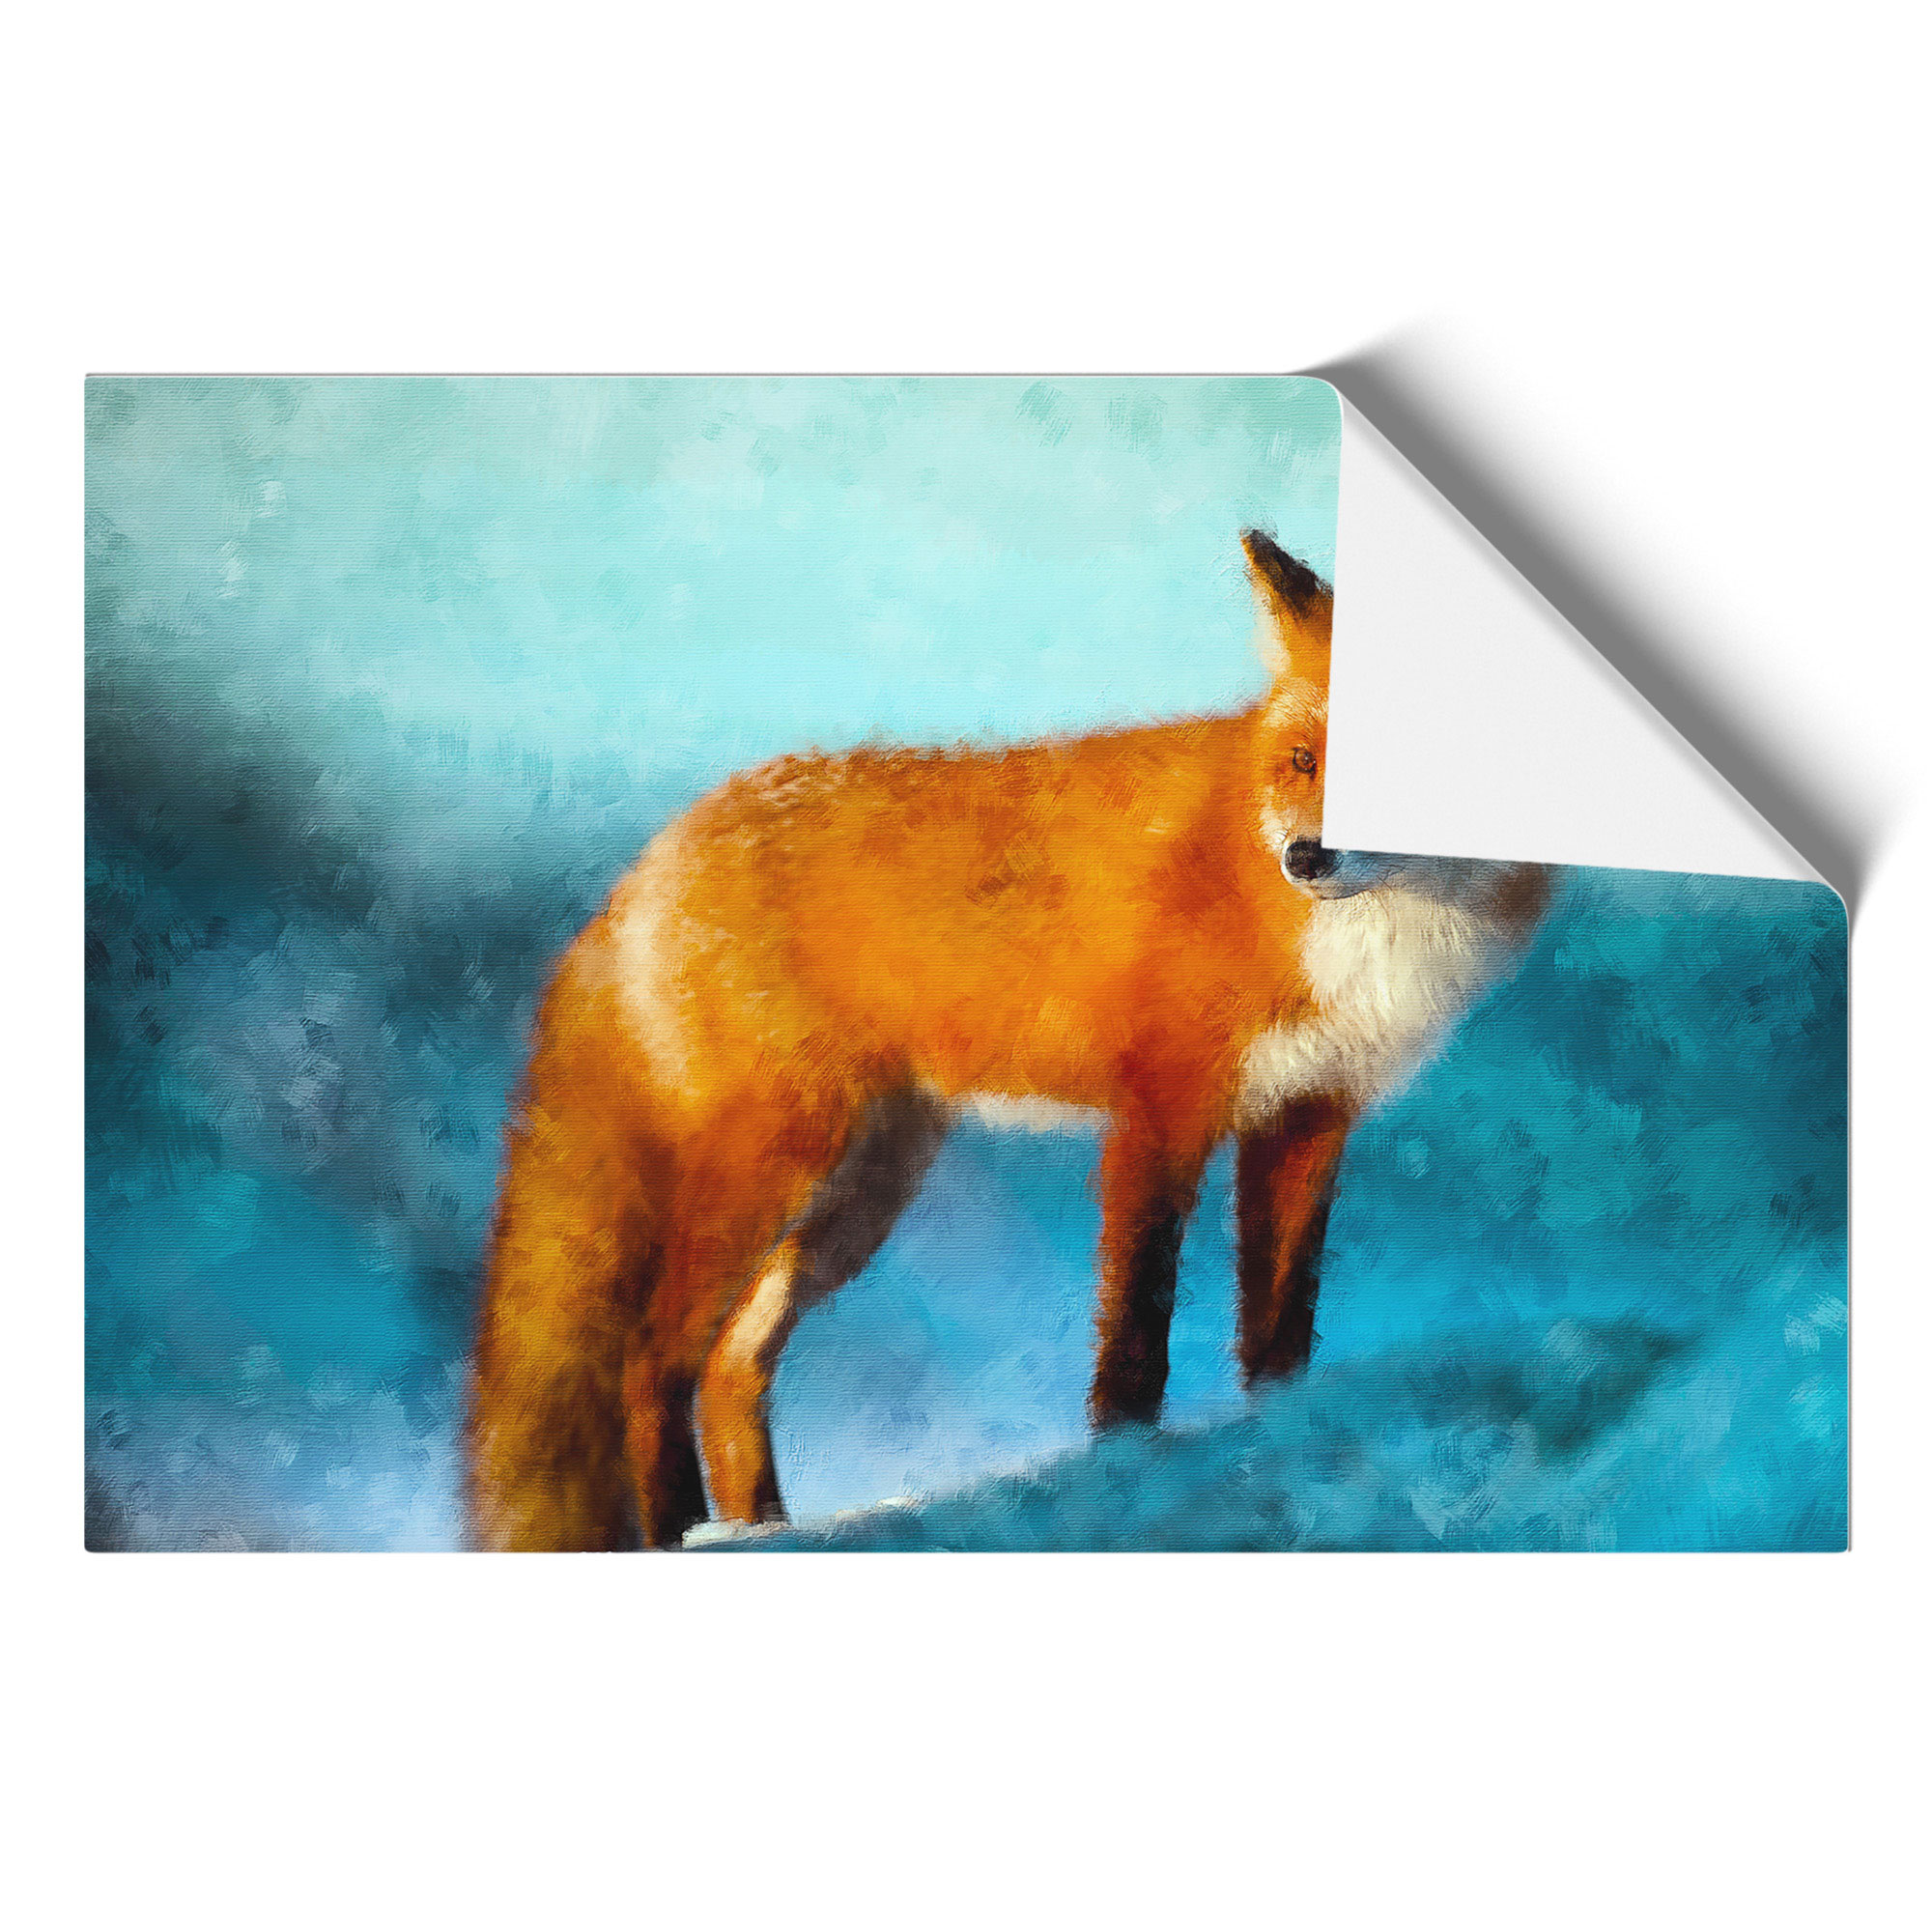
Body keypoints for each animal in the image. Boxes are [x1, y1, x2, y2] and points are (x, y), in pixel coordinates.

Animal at [466, 531, 1551, 1550]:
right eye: (1301, 761)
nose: (1305, 858)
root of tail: (652, 856)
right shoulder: (1160, 1111)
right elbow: (1135, 1337)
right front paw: (1123, 1473)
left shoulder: (1306, 1118)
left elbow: (1278, 1335)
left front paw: (1278, 1445)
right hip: (774, 1166)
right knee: (651, 1362)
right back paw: (685, 1536)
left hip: (863, 1191)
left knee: (733, 1365)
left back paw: (766, 1531)